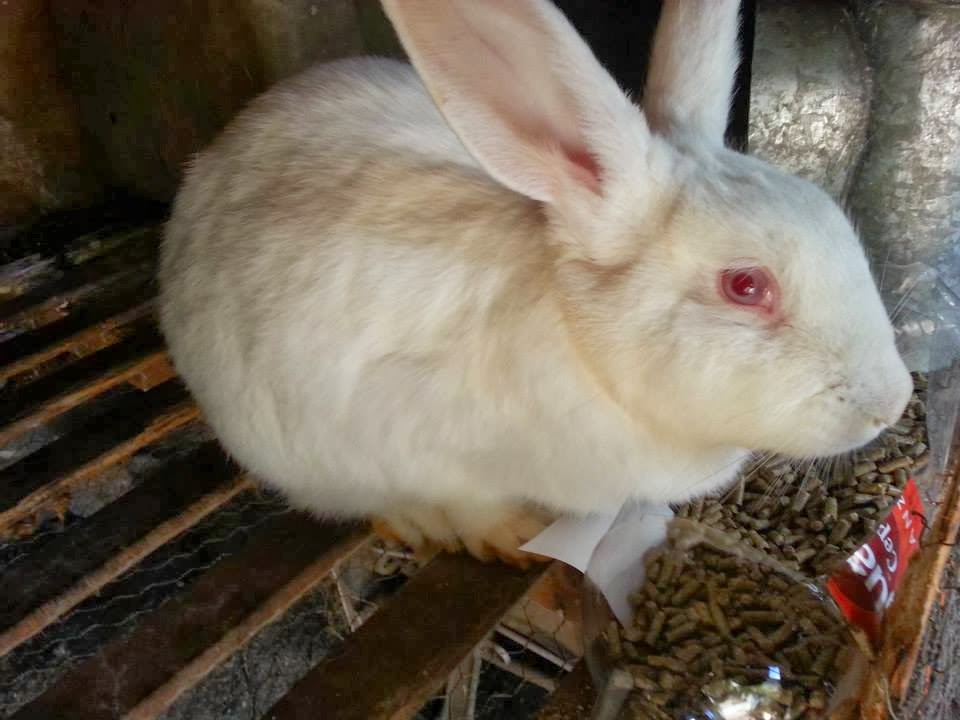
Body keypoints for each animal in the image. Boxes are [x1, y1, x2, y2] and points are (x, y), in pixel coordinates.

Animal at [159, 0, 913, 566]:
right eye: (746, 286)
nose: (893, 402)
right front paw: (510, 539)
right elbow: (466, 501)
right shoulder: (413, 444)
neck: (587, 352)